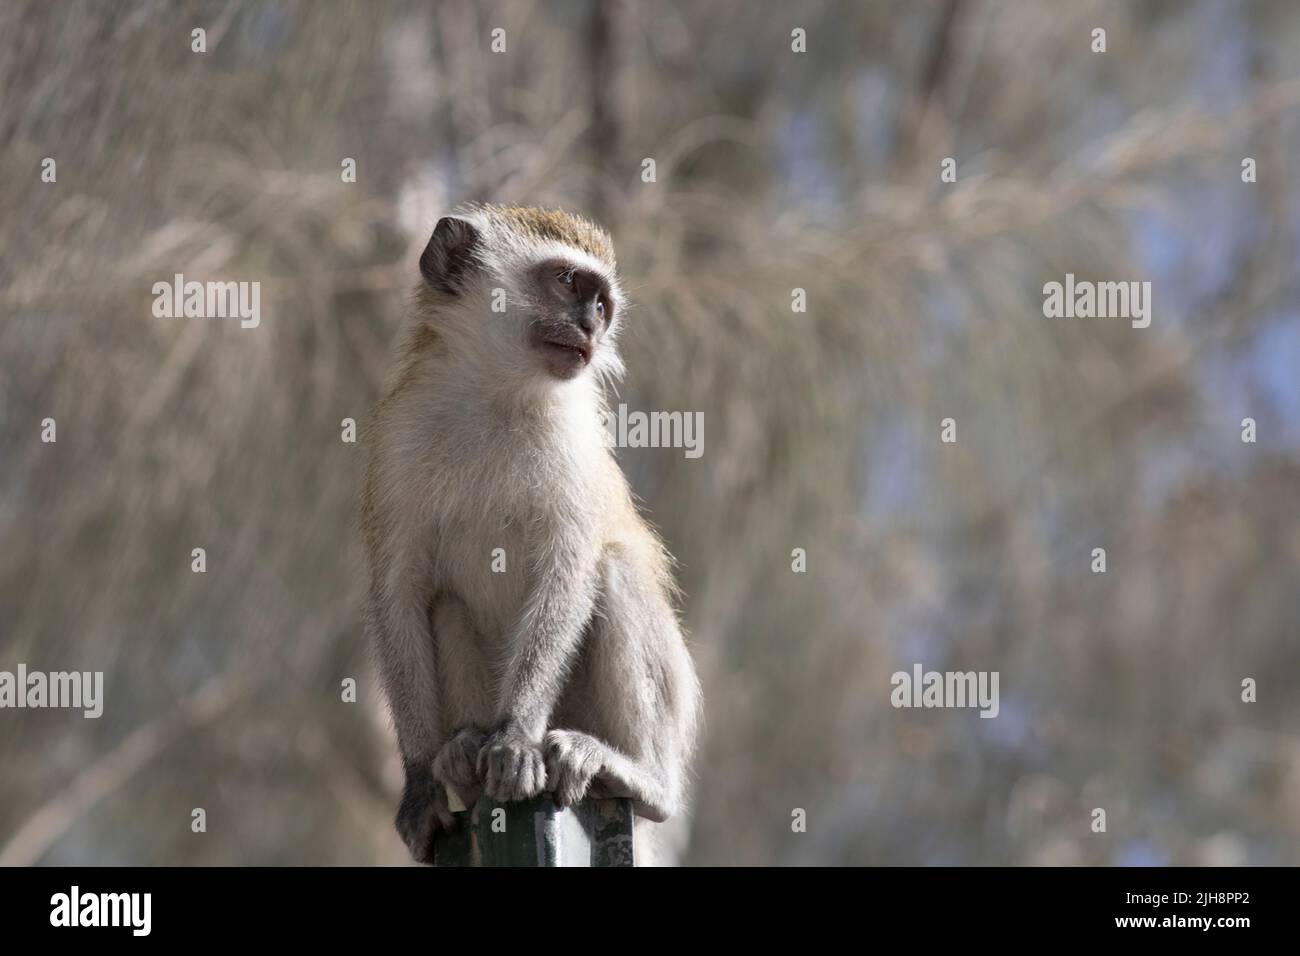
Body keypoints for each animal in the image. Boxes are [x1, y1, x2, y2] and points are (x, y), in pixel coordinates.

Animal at [361, 204, 701, 864]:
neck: (496, 397)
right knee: (444, 604)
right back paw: (461, 755)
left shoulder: (572, 441)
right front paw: (420, 782)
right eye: (569, 283)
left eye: (602, 303)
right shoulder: (395, 435)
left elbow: (567, 573)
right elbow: (399, 592)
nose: (591, 326)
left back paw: (639, 778)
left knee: (613, 569)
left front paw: (517, 736)